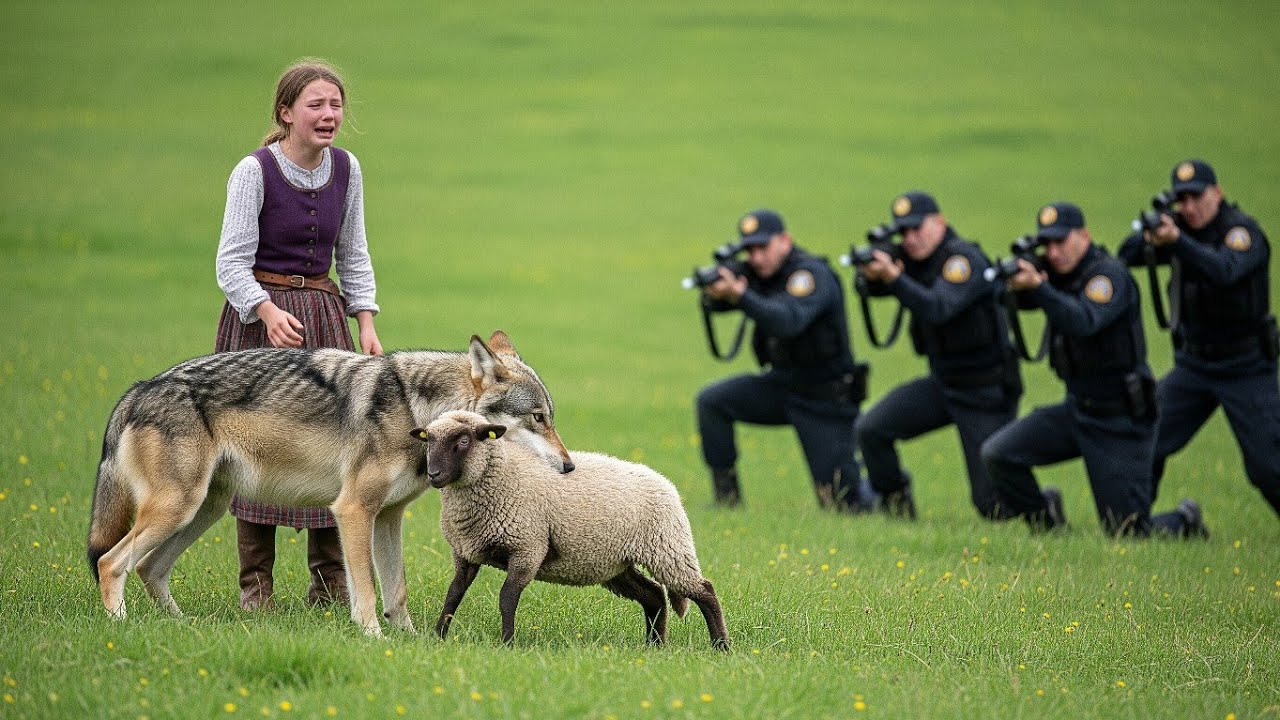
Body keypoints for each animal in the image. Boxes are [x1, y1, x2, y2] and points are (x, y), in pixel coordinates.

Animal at [87, 330, 571, 636]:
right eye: (537, 418)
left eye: (550, 418)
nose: (568, 467)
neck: (417, 412)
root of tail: (140, 387)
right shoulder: (352, 510)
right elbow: (367, 591)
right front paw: (374, 637)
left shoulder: (388, 517)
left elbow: (397, 590)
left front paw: (412, 642)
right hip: (179, 507)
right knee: (111, 563)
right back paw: (120, 628)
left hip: (204, 508)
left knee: (149, 568)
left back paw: (181, 626)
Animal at [410, 410, 730, 650]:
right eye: (429, 441)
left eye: (463, 440)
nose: (433, 475)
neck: (501, 474)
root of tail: (665, 482)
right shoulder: (465, 552)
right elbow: (453, 594)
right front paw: (437, 637)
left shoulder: (528, 548)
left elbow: (507, 598)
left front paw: (507, 643)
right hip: (616, 563)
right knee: (653, 595)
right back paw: (655, 645)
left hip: (667, 548)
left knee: (704, 591)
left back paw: (720, 646)